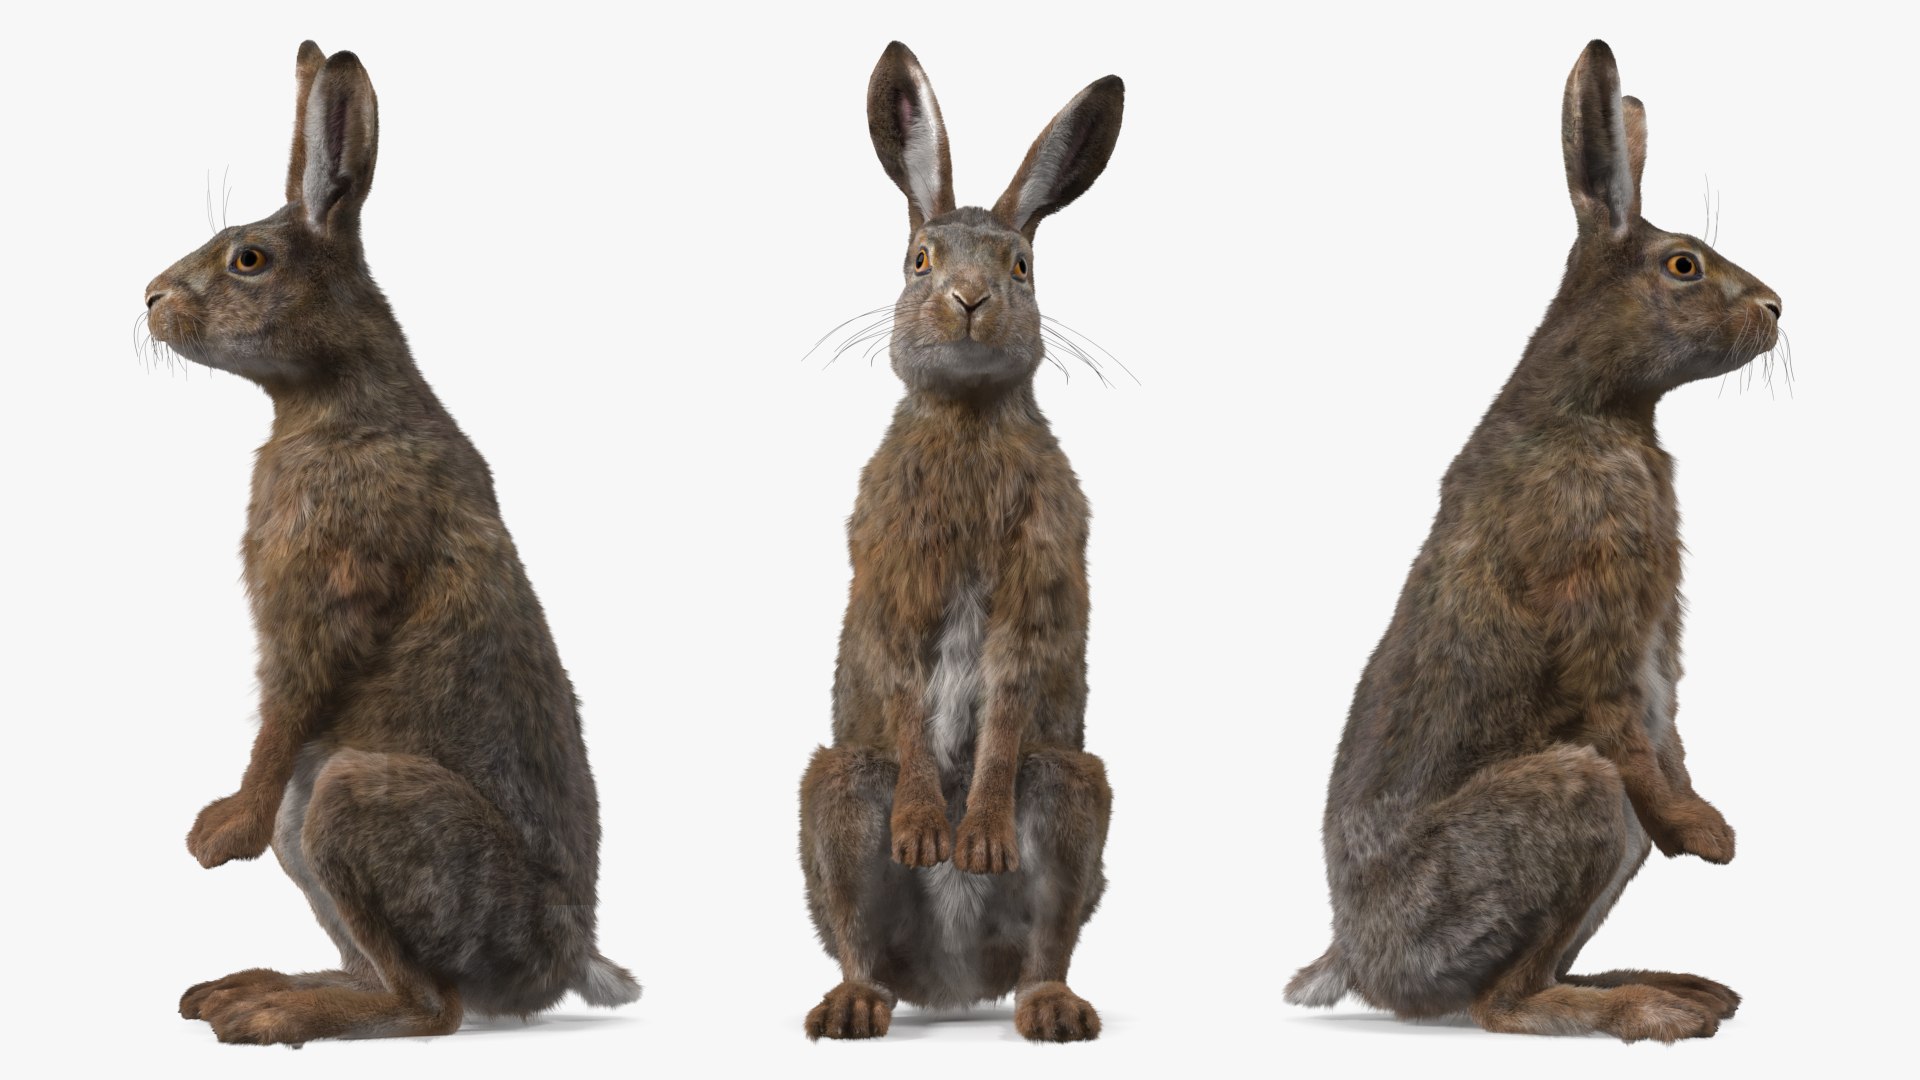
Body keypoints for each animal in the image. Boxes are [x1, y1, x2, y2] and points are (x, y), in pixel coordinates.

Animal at [142, 41, 640, 1045]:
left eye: (248, 259)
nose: (149, 299)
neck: (329, 401)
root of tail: (564, 963)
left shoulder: (331, 591)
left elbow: (288, 700)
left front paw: (218, 836)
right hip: (313, 826)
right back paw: (248, 989)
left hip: (349, 800)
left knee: (429, 1006)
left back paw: (268, 1013)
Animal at [797, 42, 1123, 1043]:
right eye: (918, 259)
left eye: (1022, 266)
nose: (969, 299)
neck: (971, 412)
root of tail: (951, 980)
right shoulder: (894, 578)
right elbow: (903, 685)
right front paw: (923, 831)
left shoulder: (1036, 585)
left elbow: (1011, 693)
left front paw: (973, 836)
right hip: (836, 791)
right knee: (857, 927)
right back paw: (854, 1007)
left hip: (1071, 787)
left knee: (1048, 938)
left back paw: (1052, 1009)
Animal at [1283, 40, 1781, 1043]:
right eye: (1683, 265)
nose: (1779, 308)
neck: (1598, 409)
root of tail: (1359, 959)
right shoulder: (1597, 609)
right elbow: (1624, 716)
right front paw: (1708, 838)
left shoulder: (1656, 643)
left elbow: (1667, 727)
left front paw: (1711, 830)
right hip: (1571, 802)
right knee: (1503, 1004)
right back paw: (1651, 1009)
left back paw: (1680, 988)